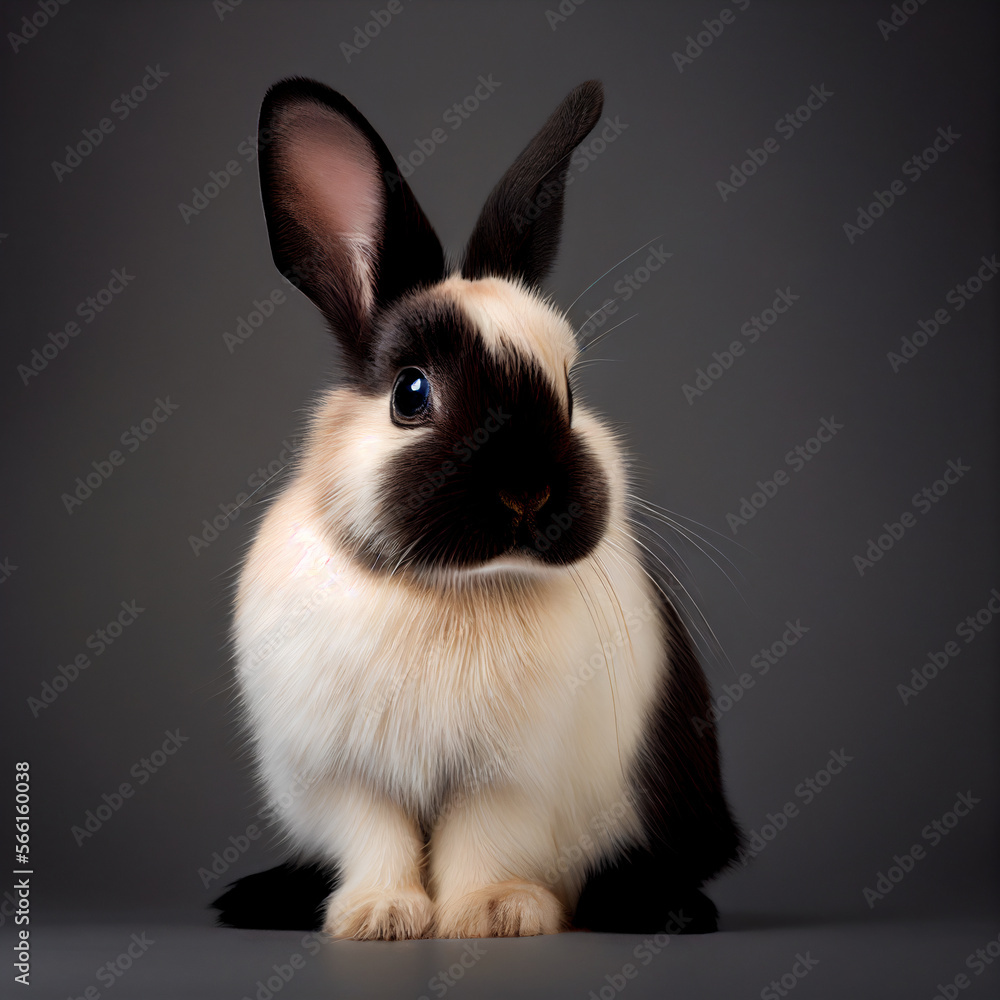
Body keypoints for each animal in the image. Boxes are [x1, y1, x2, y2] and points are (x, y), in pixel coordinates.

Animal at [215, 76, 742, 940]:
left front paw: (495, 914)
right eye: (410, 394)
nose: (530, 488)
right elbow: (378, 839)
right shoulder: (346, 777)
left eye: (569, 392)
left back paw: (660, 907)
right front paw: (380, 917)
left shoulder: (511, 779)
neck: (448, 591)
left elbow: (483, 840)